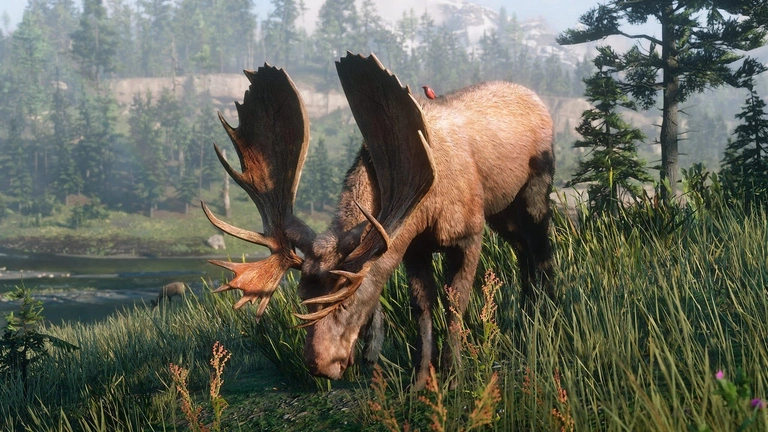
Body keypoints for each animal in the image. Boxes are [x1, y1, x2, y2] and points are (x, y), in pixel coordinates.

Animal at [201, 53, 555, 390]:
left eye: (346, 300)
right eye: (303, 296)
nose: (317, 364)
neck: (425, 208)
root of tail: (537, 99)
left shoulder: (468, 234)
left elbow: (455, 303)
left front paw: (453, 376)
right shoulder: (415, 247)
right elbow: (421, 307)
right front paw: (420, 380)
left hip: (535, 189)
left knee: (542, 248)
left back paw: (544, 318)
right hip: (502, 212)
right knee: (523, 249)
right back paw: (526, 315)